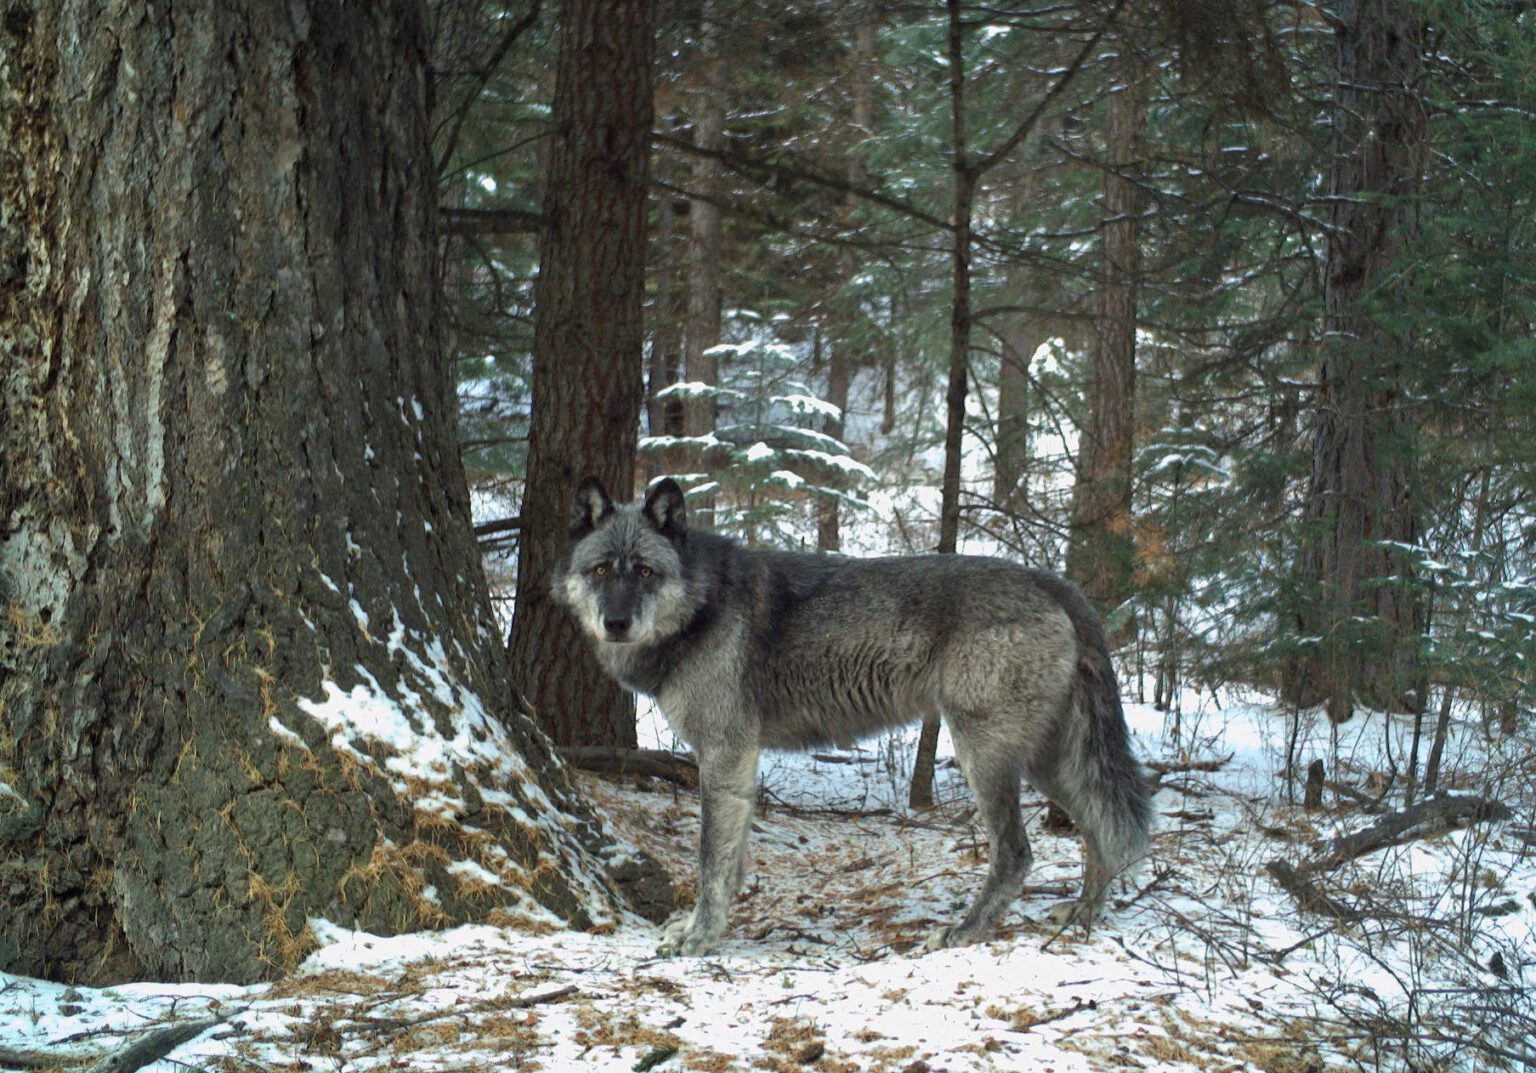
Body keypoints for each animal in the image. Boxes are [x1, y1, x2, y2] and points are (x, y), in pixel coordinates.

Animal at [553, 476, 1151, 957]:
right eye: (601, 569)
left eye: (645, 571)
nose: (616, 622)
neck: (704, 606)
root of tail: (1055, 584)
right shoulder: (736, 765)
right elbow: (732, 860)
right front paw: (706, 928)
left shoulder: (724, 756)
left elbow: (709, 862)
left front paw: (700, 939)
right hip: (1049, 764)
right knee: (1100, 832)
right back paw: (1082, 917)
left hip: (986, 759)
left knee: (1017, 855)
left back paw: (963, 933)